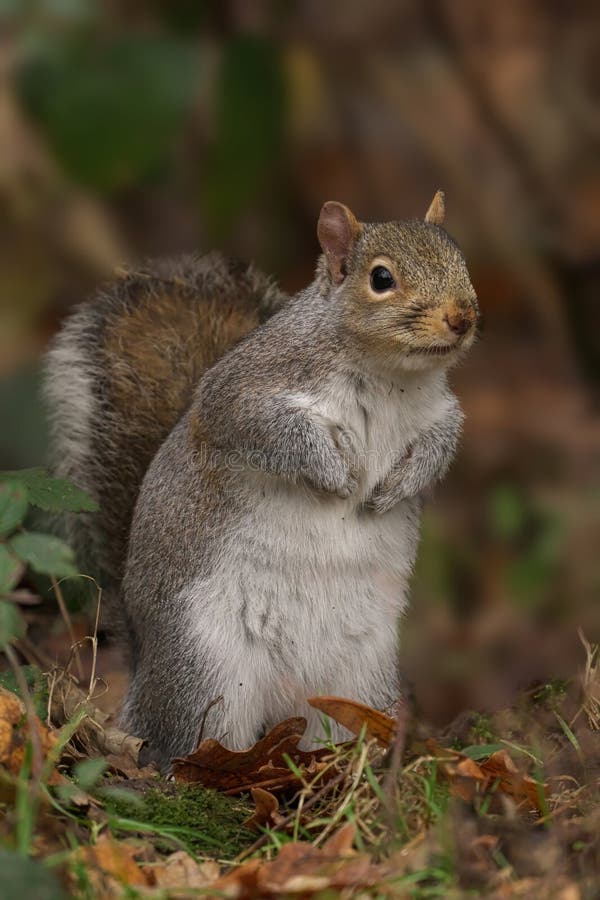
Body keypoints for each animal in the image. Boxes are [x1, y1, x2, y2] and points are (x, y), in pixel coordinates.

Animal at [45, 192, 479, 770]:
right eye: (381, 278)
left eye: (460, 259)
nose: (461, 317)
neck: (392, 377)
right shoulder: (245, 392)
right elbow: (272, 432)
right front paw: (338, 475)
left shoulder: (440, 415)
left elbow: (439, 448)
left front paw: (396, 486)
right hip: (205, 668)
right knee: (189, 740)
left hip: (360, 677)